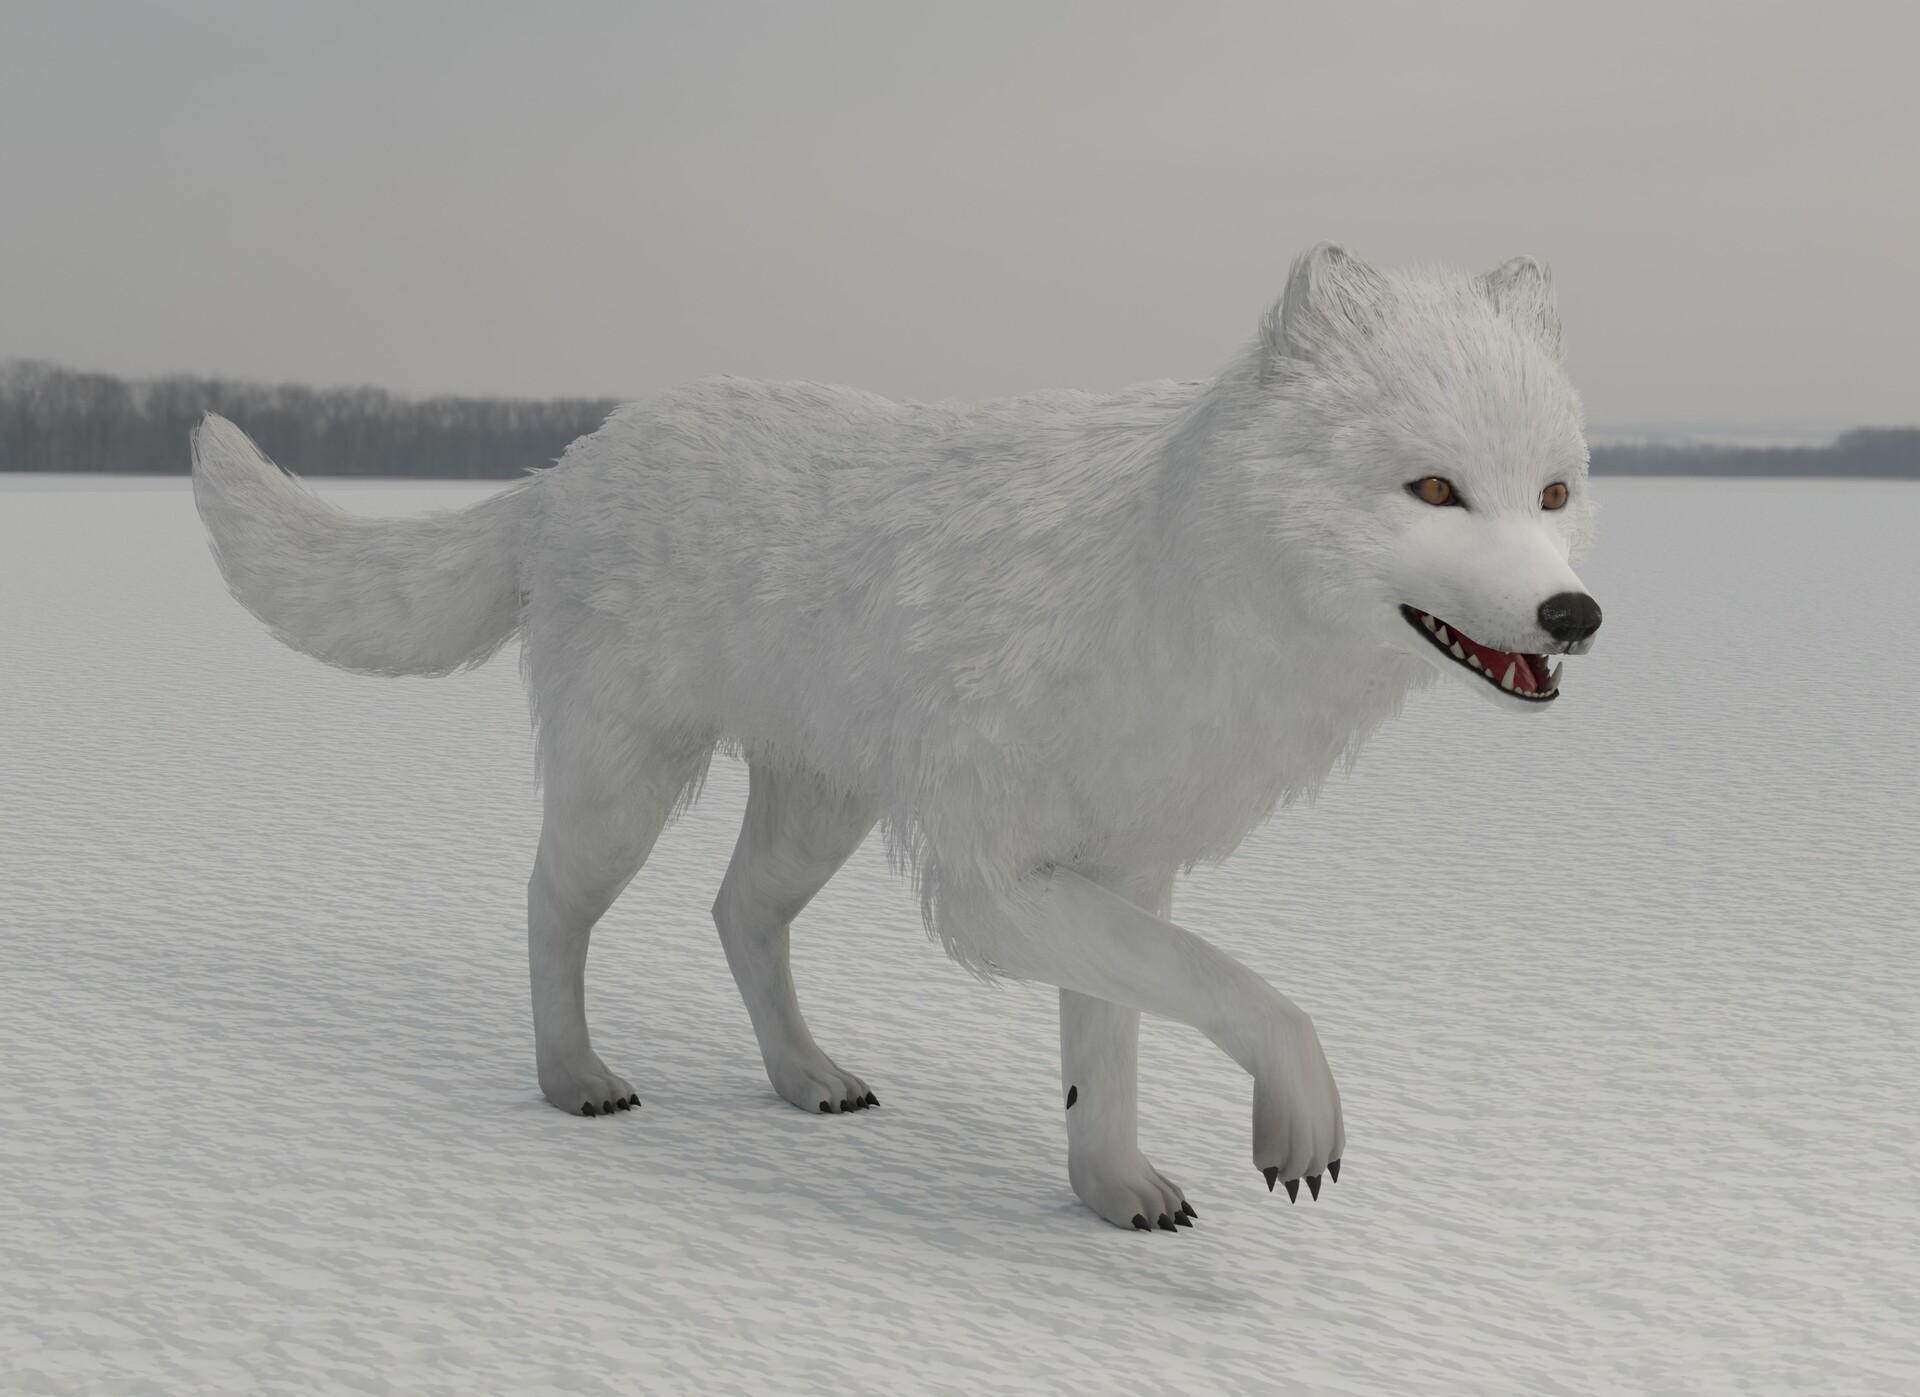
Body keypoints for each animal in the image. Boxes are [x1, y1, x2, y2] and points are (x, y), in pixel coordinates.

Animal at [191, 242, 1600, 1231]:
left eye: (1551, 492)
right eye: (1433, 488)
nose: (1574, 615)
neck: (1177, 587)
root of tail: (566, 464)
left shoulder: (1122, 869)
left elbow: (1114, 1044)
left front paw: (1112, 1191)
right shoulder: (990, 884)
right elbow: (1243, 990)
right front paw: (1293, 1122)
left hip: (815, 813)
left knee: (735, 913)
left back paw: (805, 1077)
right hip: (623, 795)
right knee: (548, 903)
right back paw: (573, 1074)